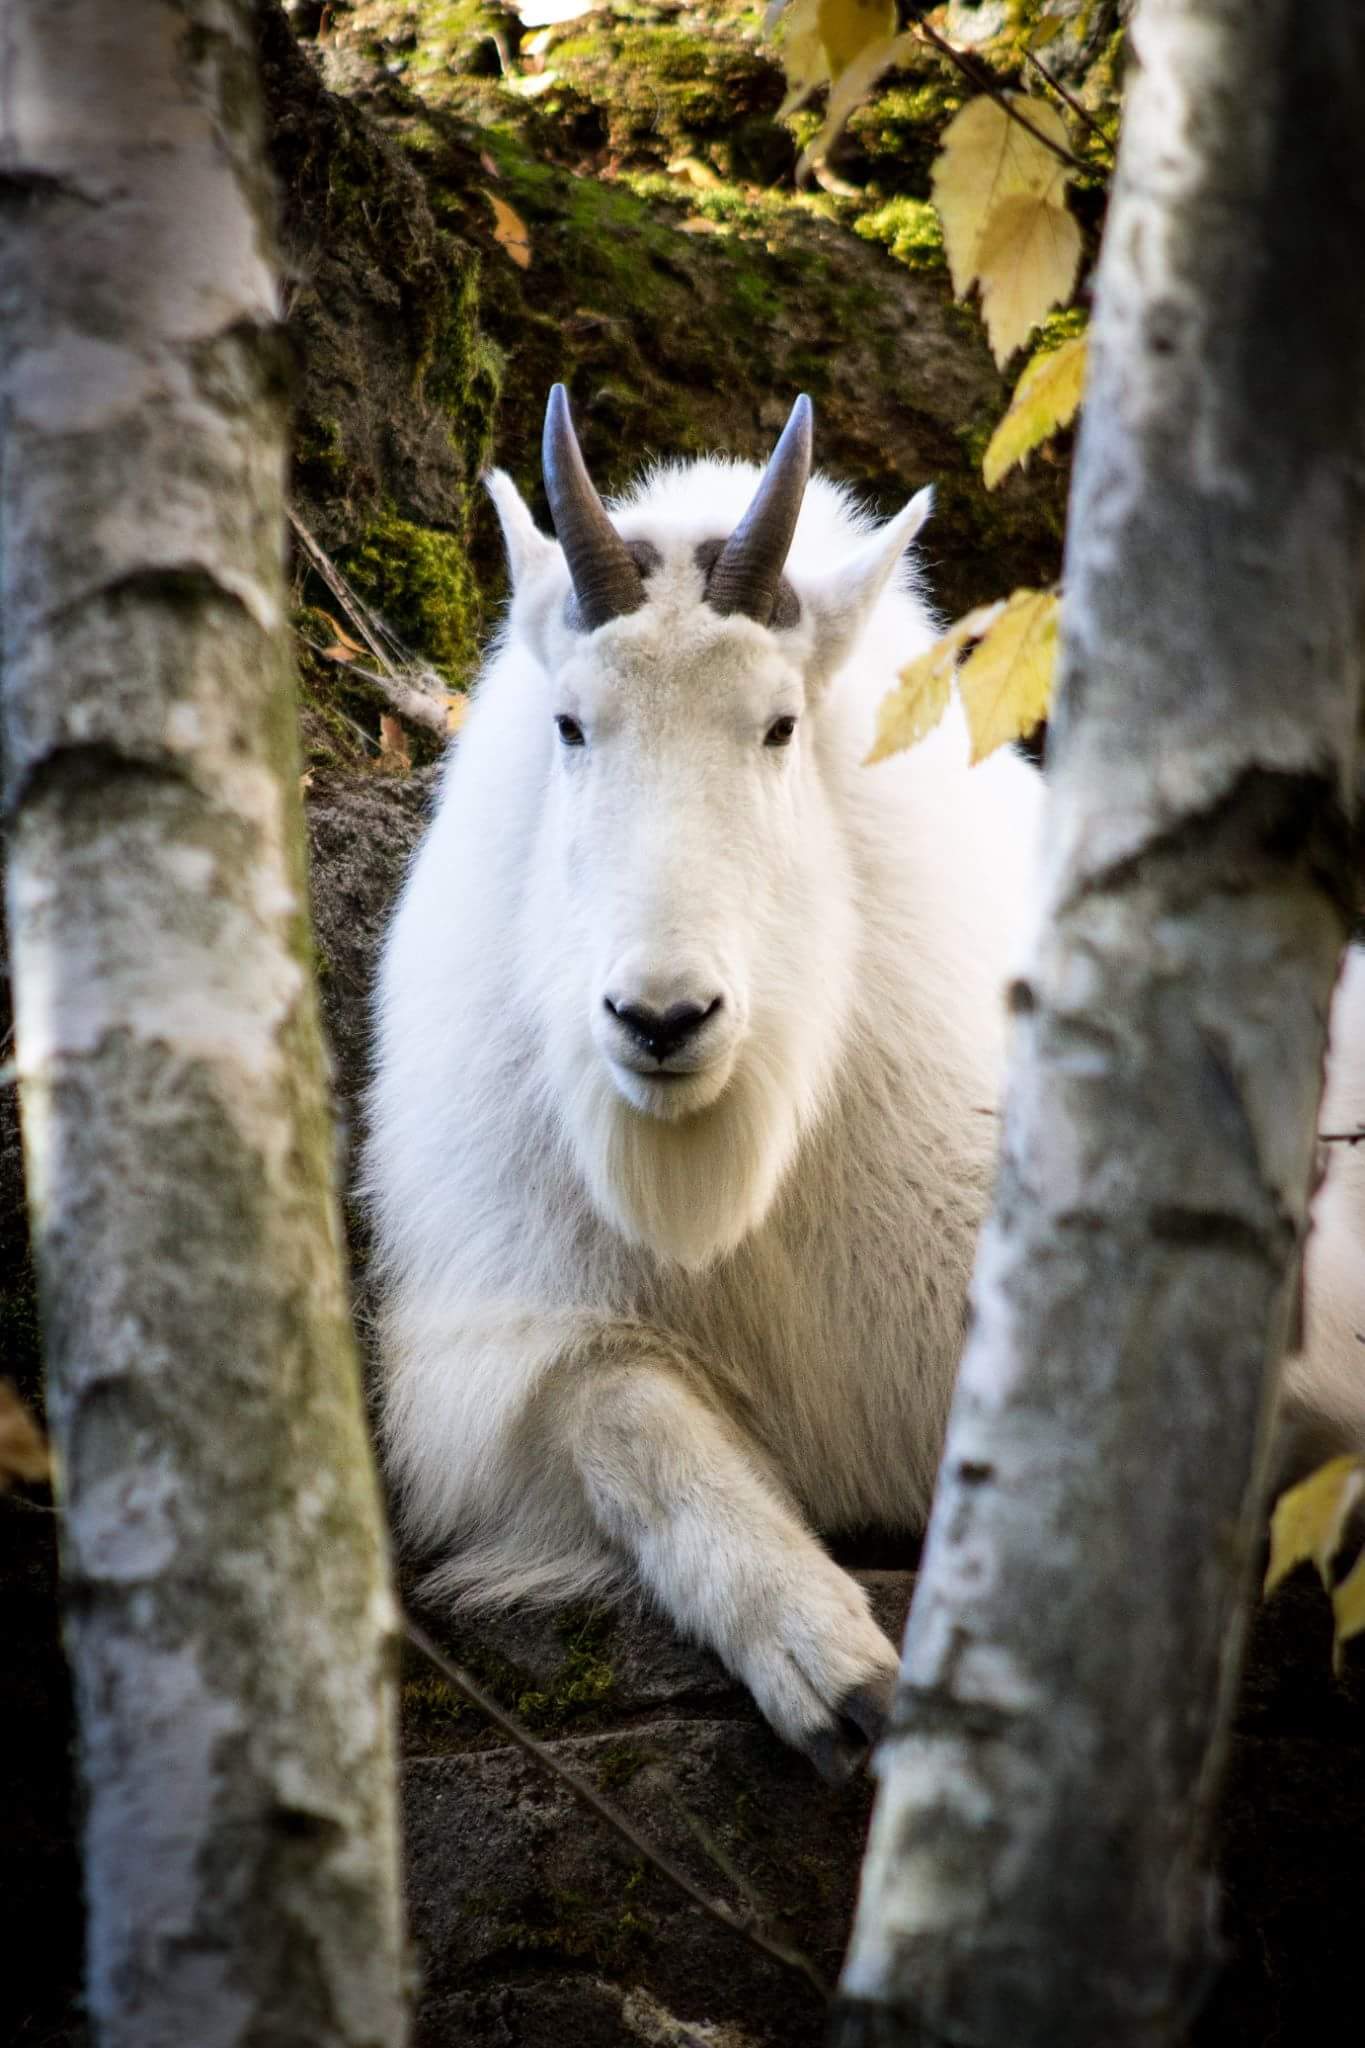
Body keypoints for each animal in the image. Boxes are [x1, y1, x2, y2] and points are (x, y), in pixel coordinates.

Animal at [365, 388, 1365, 1778]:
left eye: (779, 725)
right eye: (571, 724)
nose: (663, 1017)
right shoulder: (513, 1346)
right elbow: (623, 1414)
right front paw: (833, 1668)